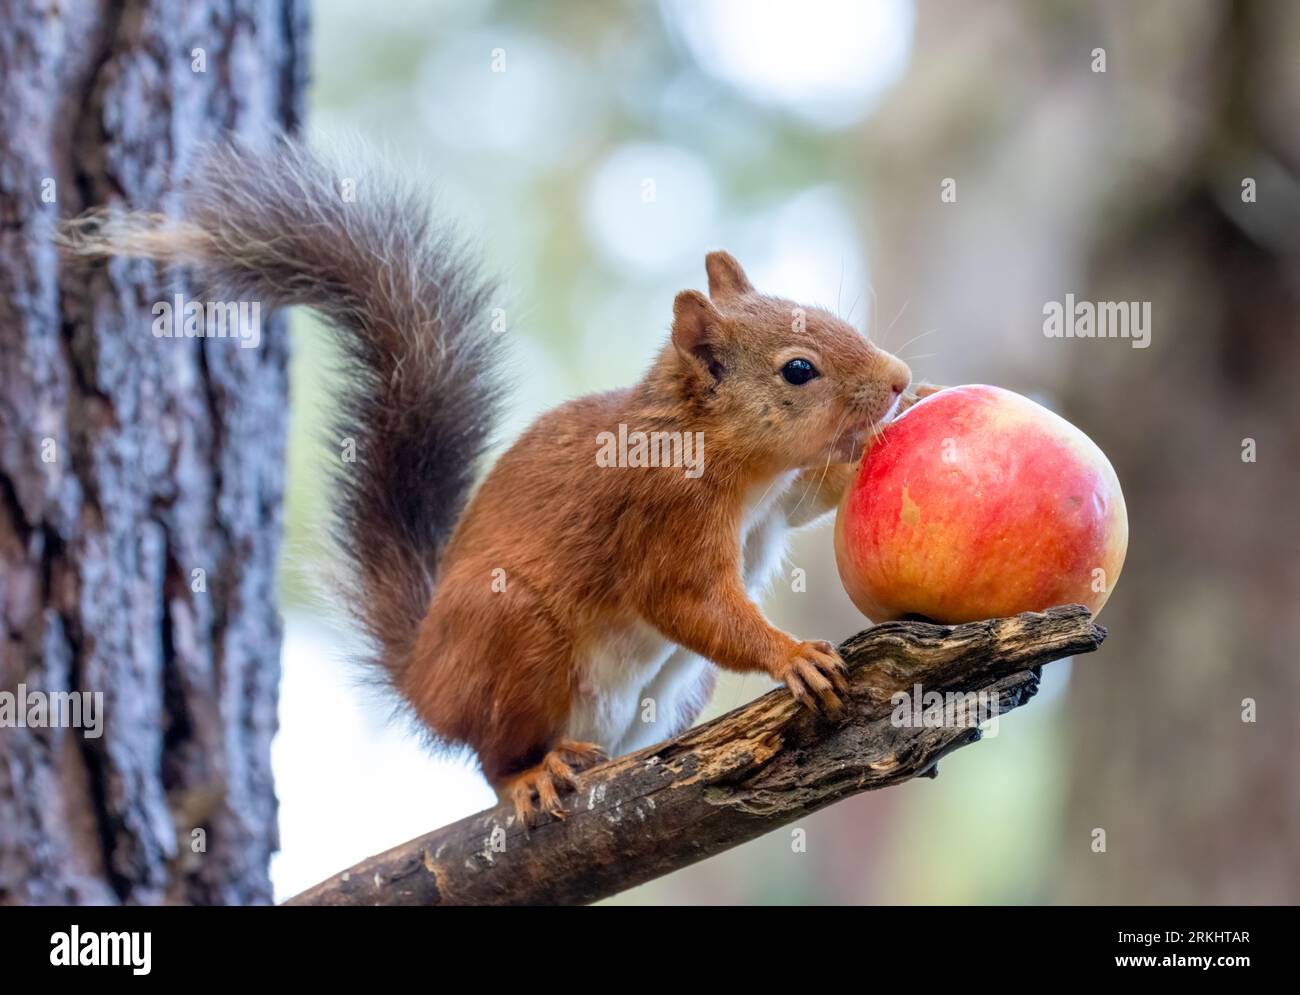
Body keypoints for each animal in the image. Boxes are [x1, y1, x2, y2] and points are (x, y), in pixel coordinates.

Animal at [61, 139, 931, 825]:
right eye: (798, 370)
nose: (896, 376)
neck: (728, 457)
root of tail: (423, 681)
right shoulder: (661, 513)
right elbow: (686, 601)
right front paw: (791, 654)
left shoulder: (778, 495)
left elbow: (811, 496)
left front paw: (903, 413)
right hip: (511, 631)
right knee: (489, 756)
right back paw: (530, 774)